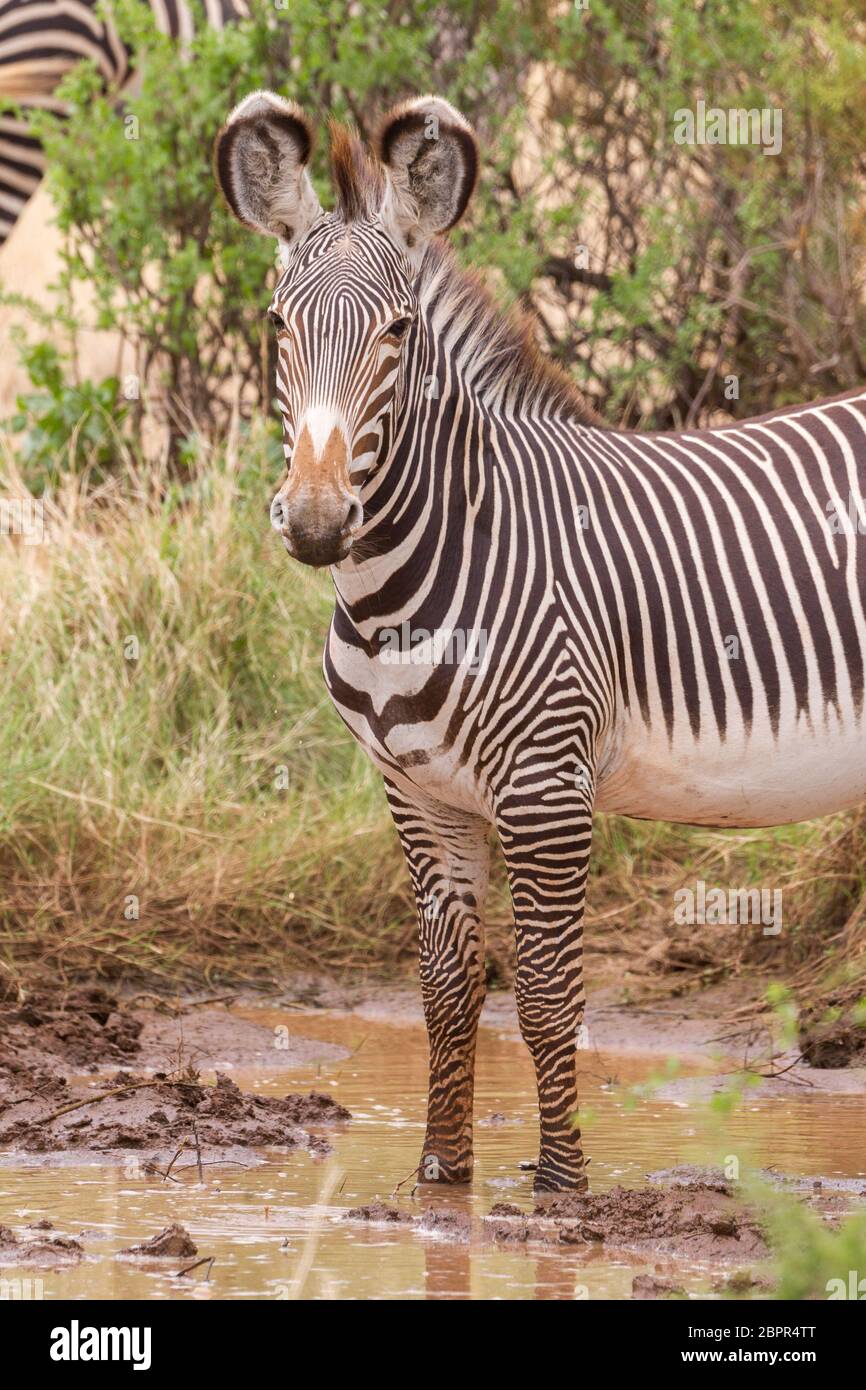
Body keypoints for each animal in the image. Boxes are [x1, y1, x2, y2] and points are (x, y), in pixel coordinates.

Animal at [214, 90, 866, 1192]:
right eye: (276, 324)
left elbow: (548, 994)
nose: (313, 522)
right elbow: (446, 989)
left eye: (398, 331)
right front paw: (440, 1179)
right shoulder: (419, 794)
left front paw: (561, 1190)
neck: (399, 595)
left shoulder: (546, 789)